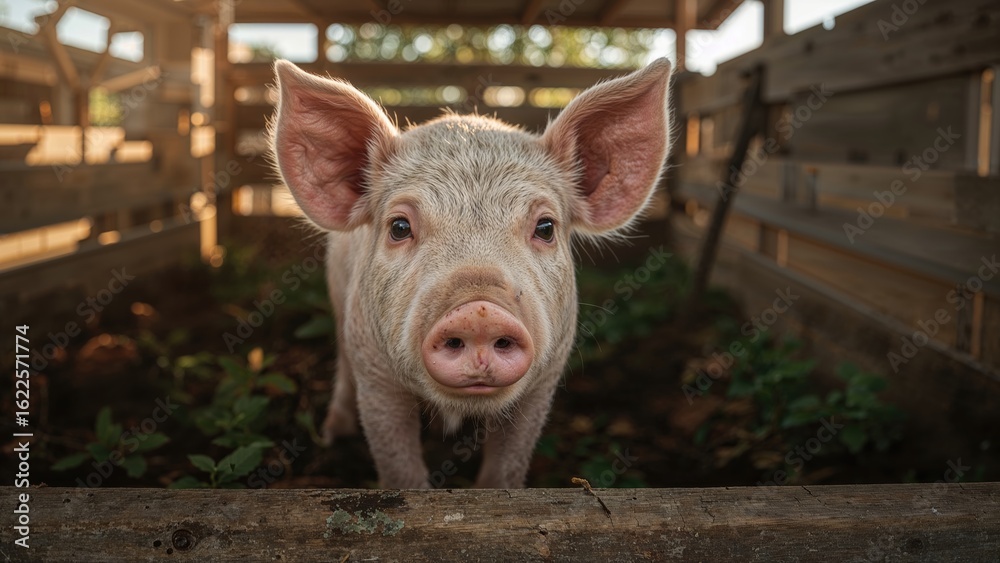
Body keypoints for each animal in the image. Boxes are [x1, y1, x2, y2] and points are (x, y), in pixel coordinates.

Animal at [271, 58, 672, 488]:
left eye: (546, 227)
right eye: (399, 227)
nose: (479, 312)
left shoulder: (543, 383)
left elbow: (506, 467)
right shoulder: (376, 375)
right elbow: (399, 467)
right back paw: (335, 433)